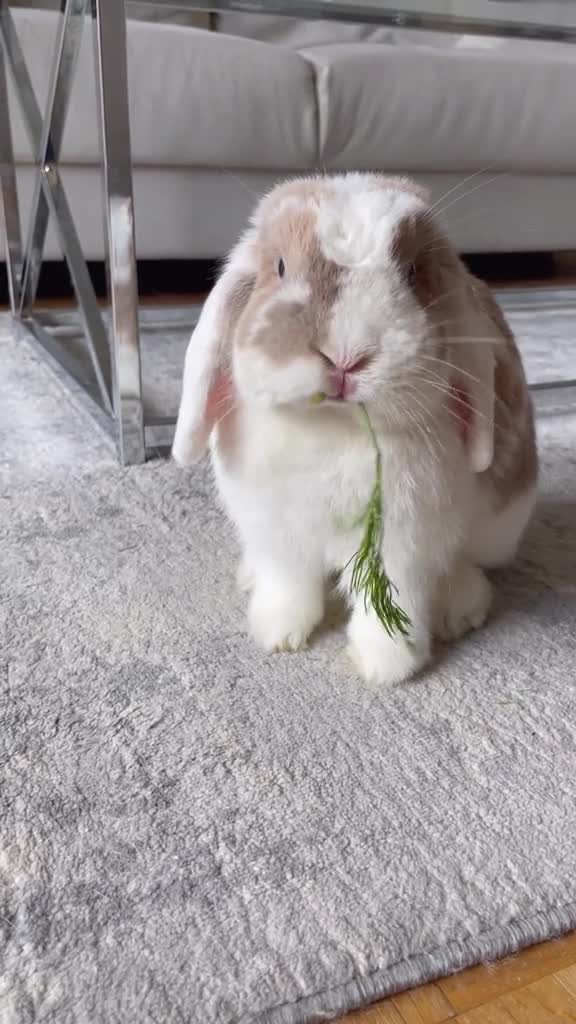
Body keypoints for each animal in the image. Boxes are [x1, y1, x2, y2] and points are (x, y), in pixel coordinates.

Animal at [172, 174, 537, 686]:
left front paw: (385, 667)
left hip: (497, 528)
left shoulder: (403, 542)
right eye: (280, 267)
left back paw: (459, 609)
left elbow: (393, 600)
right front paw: (277, 633)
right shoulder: (278, 529)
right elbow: (289, 582)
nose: (345, 357)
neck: (334, 426)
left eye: (413, 273)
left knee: (465, 565)